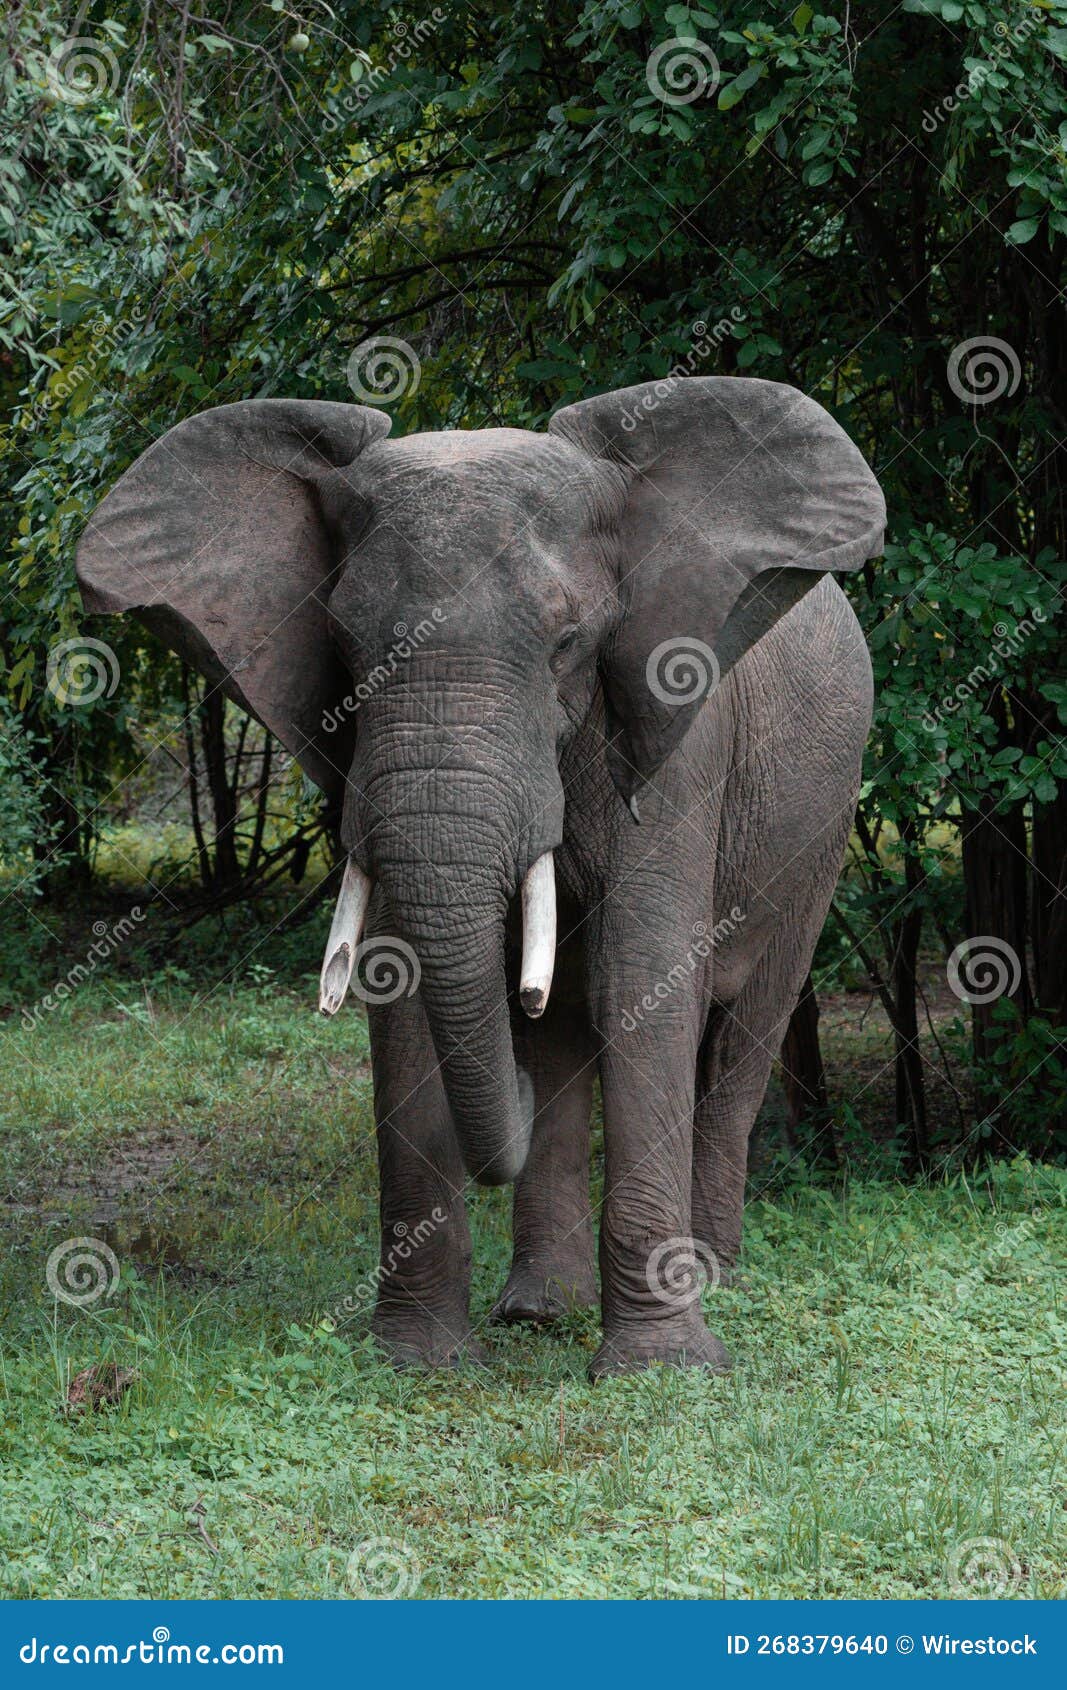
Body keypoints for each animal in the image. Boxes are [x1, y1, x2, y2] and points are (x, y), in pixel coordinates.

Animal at [76, 376, 884, 1377]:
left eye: (568, 642)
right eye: (344, 644)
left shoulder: (677, 731)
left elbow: (643, 978)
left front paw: (663, 1372)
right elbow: (403, 988)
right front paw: (415, 1361)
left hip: (821, 822)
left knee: (742, 1034)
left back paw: (710, 1274)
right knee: (562, 1032)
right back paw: (537, 1309)